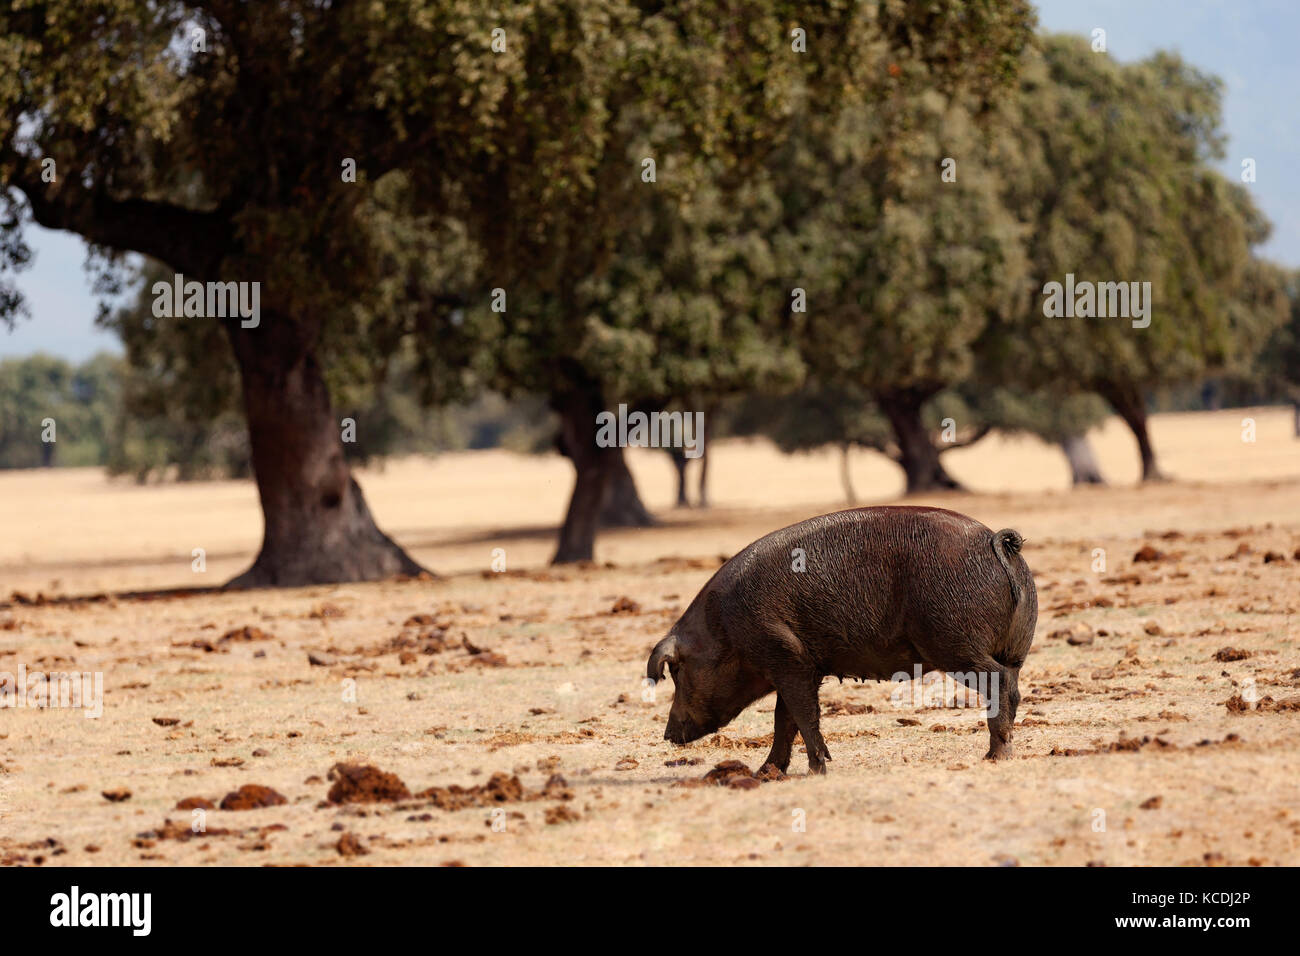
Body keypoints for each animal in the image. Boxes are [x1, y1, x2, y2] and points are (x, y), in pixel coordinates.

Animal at [645, 506, 1037, 773]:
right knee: (1014, 684)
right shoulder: (800, 666)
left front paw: (818, 768)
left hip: (954, 642)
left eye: (678, 672)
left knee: (998, 681)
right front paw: (767, 772)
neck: (722, 627)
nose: (667, 734)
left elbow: (802, 716)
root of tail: (998, 543)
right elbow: (785, 720)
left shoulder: (787, 657)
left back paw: (995, 757)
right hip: (1014, 650)